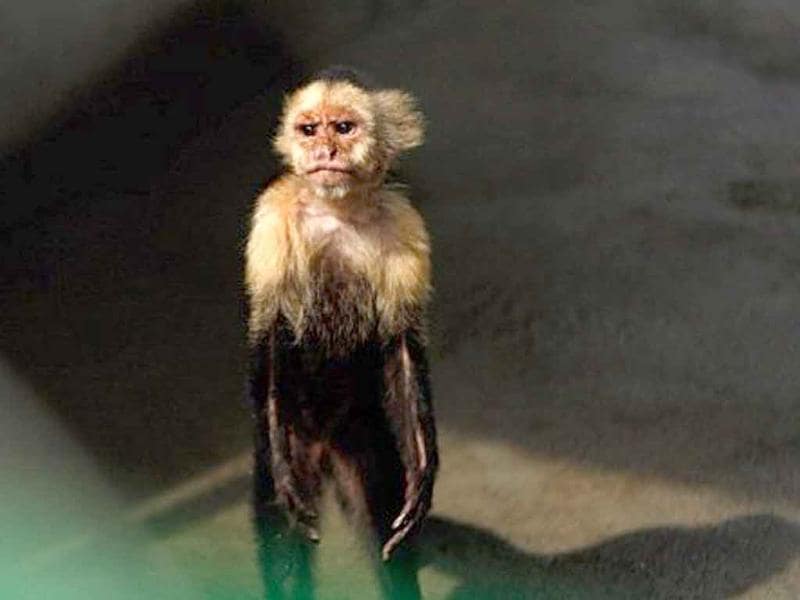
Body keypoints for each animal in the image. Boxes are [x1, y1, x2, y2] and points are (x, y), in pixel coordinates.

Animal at [246, 67, 437, 599]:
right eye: (309, 129)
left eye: (344, 128)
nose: (324, 151)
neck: (337, 212)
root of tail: (325, 447)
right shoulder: (270, 219)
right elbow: (271, 339)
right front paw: (285, 482)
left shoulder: (404, 224)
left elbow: (403, 348)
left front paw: (425, 473)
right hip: (291, 439)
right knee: (283, 537)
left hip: (361, 435)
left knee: (381, 522)